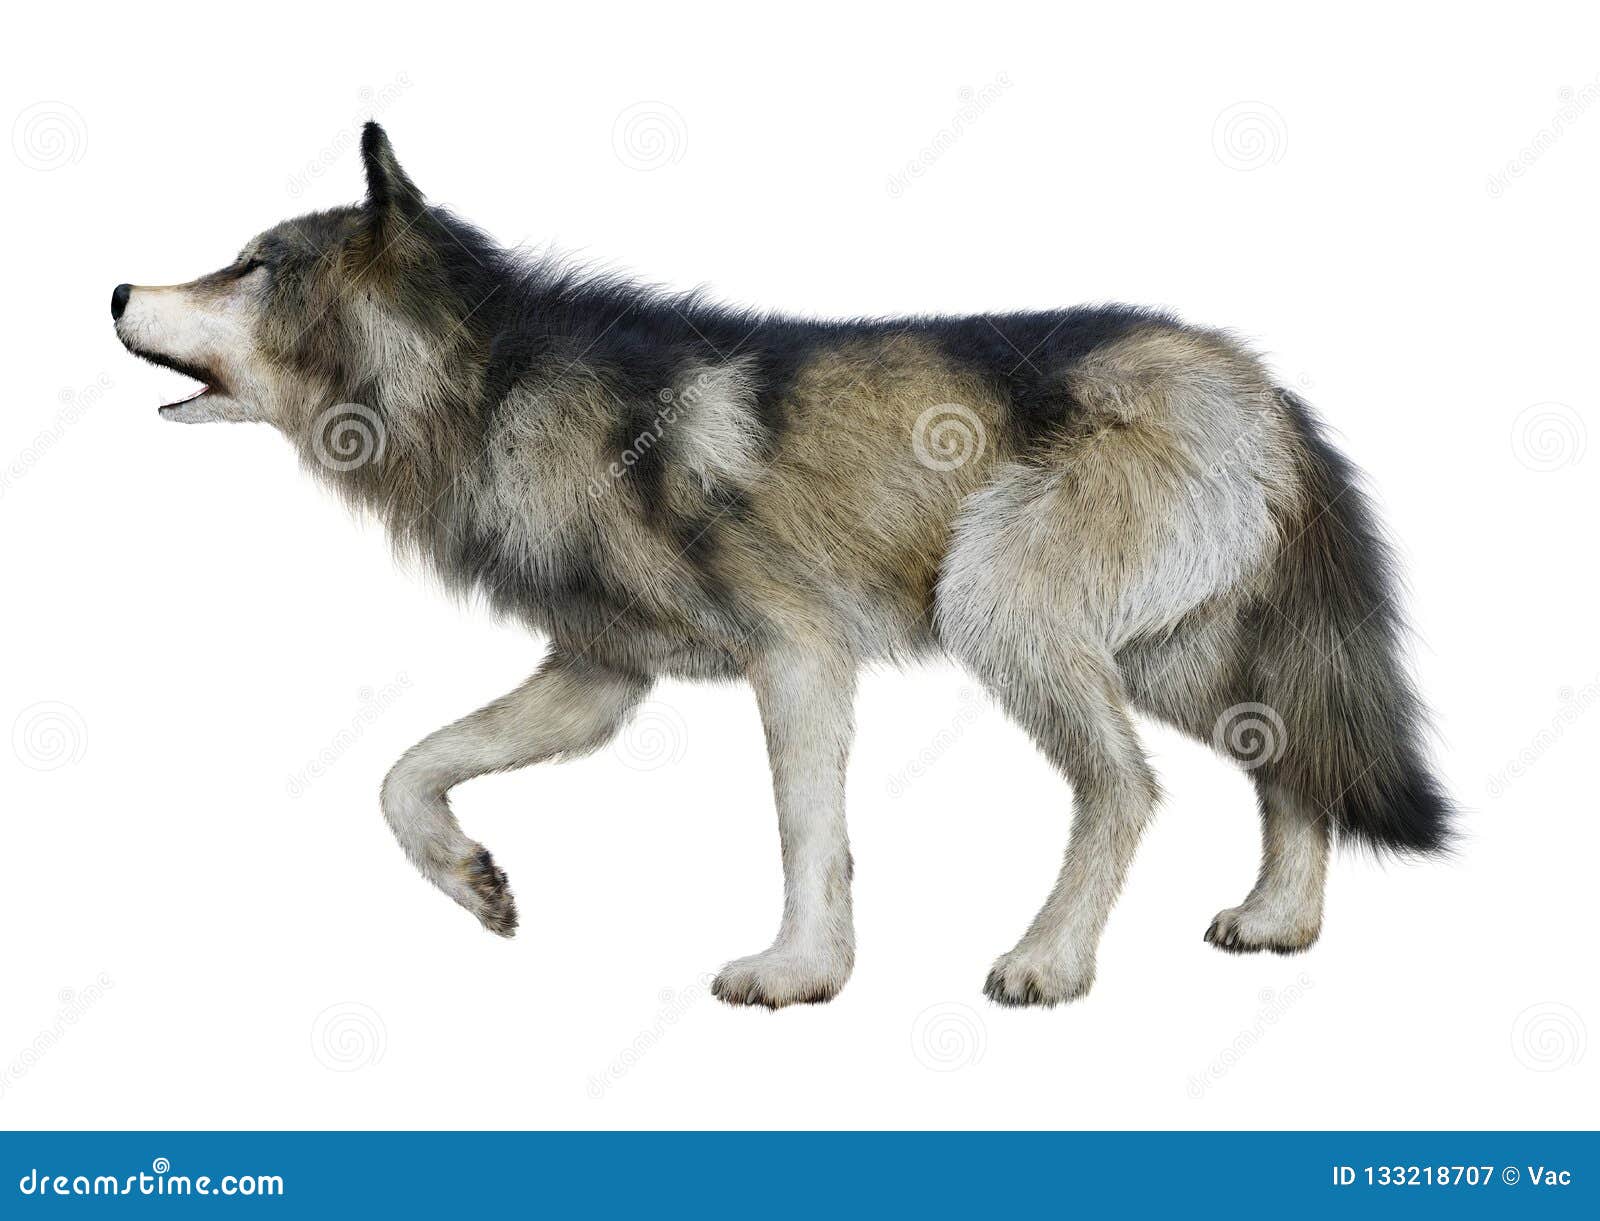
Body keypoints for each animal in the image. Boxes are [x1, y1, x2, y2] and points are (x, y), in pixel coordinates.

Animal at [110, 123, 1451, 1008]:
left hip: (1002, 615)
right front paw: (472, 882)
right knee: (1292, 762)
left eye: (253, 266)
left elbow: (809, 834)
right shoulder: (600, 678)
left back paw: (1050, 963)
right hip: (1164, 659)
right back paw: (1280, 924)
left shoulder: (798, 652)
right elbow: (403, 774)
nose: (117, 287)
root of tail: (1260, 382)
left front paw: (802, 973)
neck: (493, 390)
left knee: (1128, 789)